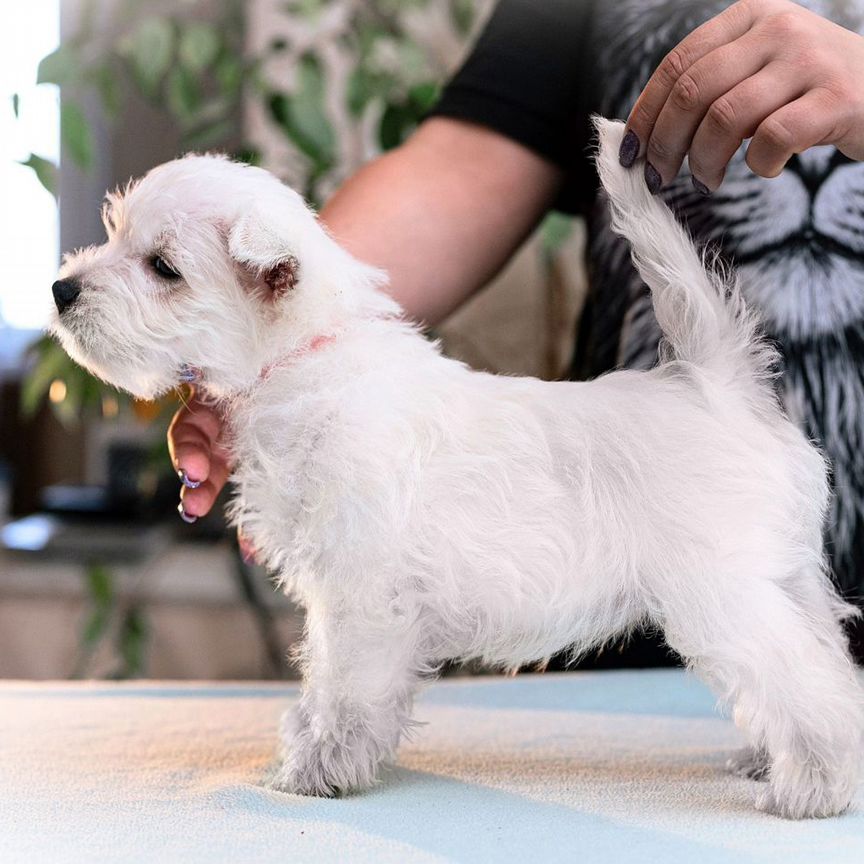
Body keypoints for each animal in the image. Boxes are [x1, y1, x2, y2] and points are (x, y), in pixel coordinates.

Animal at [50, 120, 860, 816]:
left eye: (163, 267)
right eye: (116, 233)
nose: (61, 289)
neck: (303, 360)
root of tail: (719, 386)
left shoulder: (360, 593)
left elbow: (343, 687)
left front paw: (319, 769)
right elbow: (337, 686)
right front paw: (326, 753)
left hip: (722, 593)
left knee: (803, 683)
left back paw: (814, 785)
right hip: (788, 579)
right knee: (830, 665)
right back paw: (771, 759)